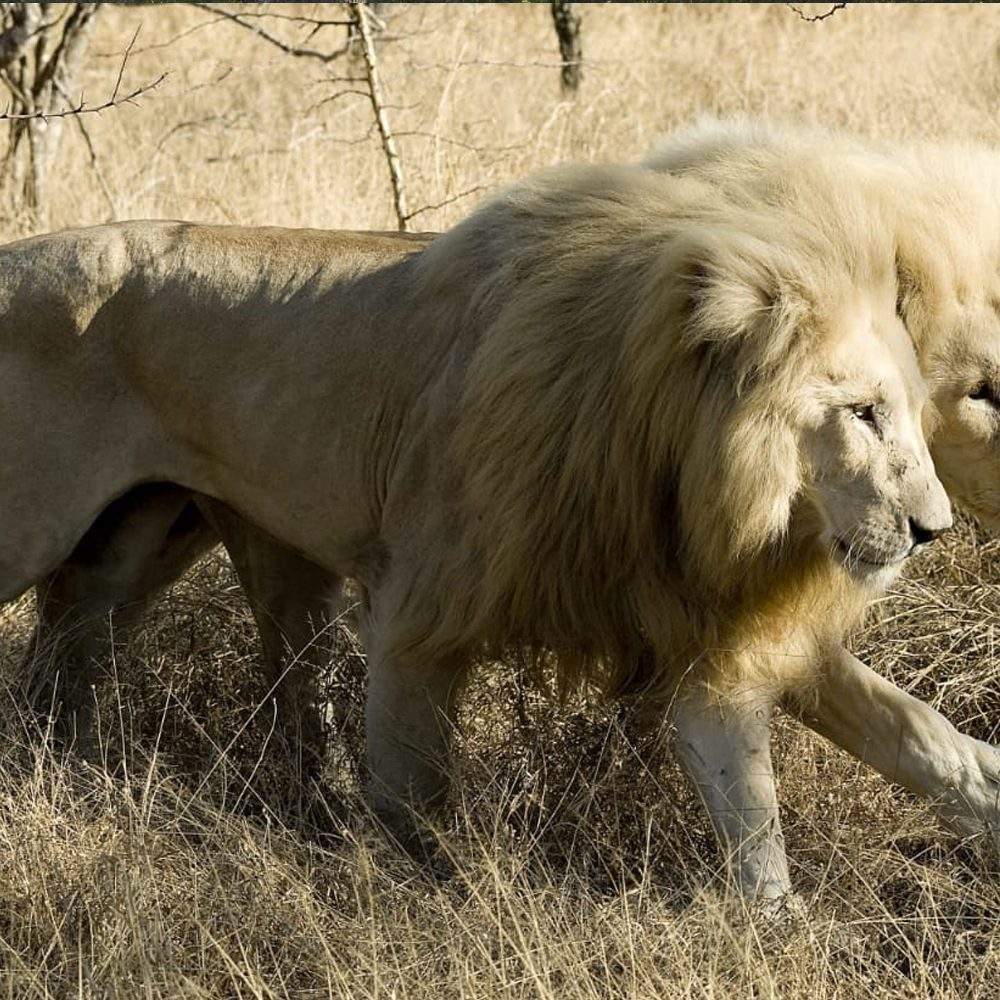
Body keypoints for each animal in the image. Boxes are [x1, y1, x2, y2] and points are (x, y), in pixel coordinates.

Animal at [1, 164, 950, 905]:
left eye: (909, 411)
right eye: (861, 413)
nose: (933, 530)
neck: (662, 444)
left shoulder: (686, 622)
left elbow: (778, 801)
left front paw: (779, 927)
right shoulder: (419, 607)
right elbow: (410, 789)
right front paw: (423, 896)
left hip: (137, 546)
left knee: (60, 671)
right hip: (35, 528)